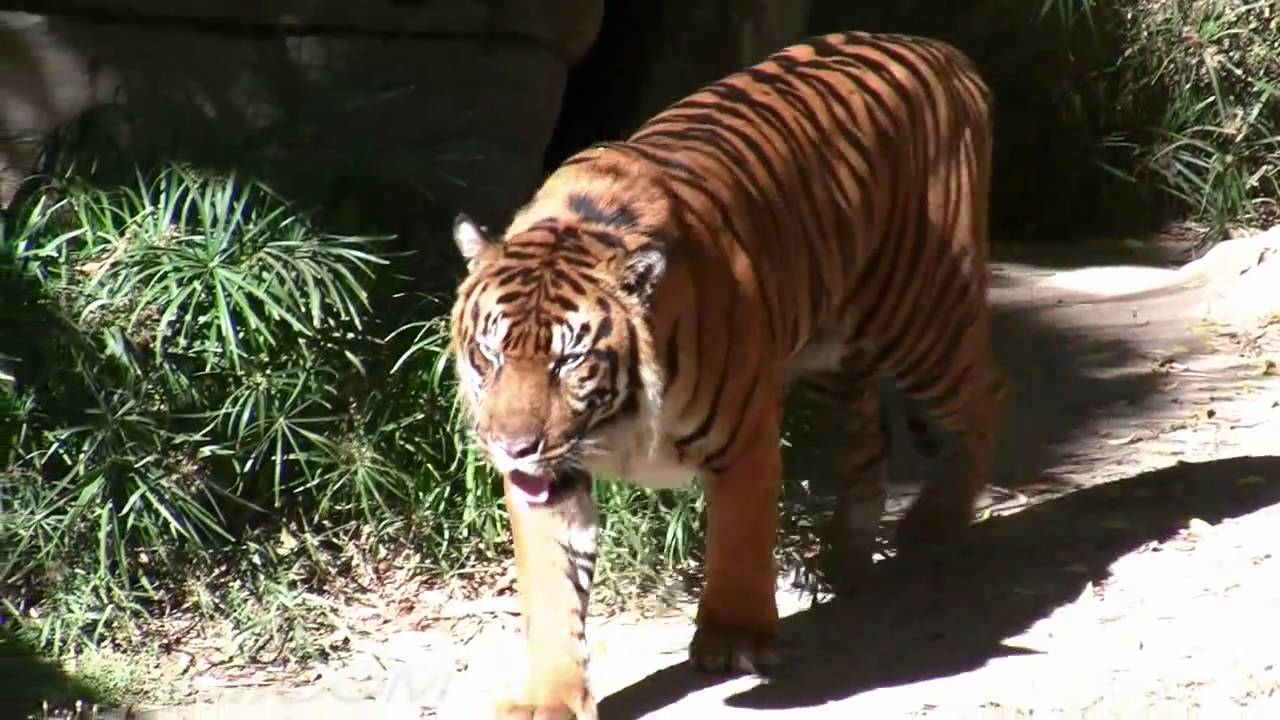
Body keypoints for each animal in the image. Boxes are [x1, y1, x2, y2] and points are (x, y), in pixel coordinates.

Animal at [448, 29, 1006, 719]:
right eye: (490, 355)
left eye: (568, 361)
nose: (511, 447)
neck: (618, 420)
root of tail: (944, 51)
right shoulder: (551, 478)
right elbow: (552, 590)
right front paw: (551, 698)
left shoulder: (744, 440)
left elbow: (739, 540)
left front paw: (734, 639)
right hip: (833, 351)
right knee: (869, 439)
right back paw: (842, 559)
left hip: (921, 315)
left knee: (984, 396)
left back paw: (934, 523)